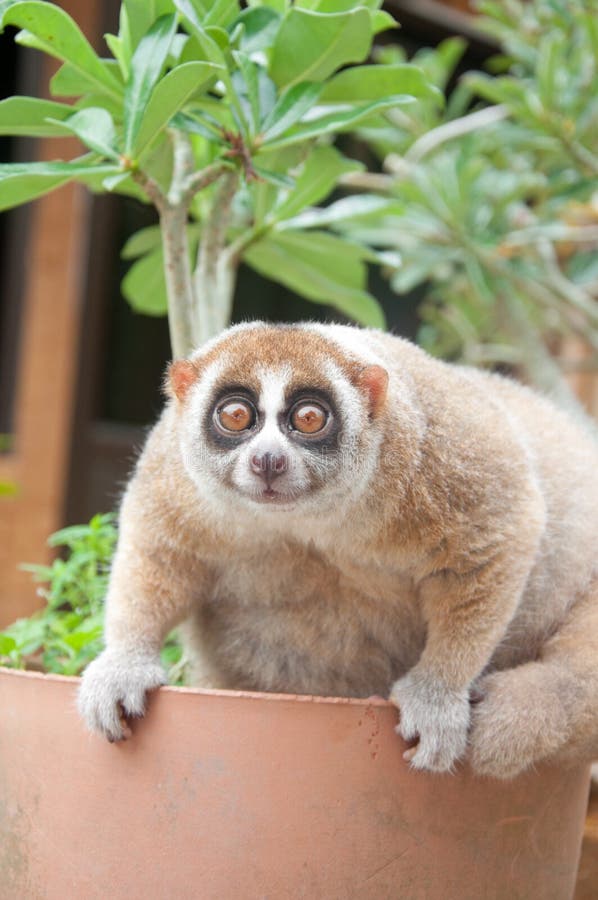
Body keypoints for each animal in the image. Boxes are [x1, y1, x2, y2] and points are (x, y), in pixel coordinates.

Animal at [78, 322, 598, 778]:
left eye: (308, 418)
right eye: (235, 415)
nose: (268, 459)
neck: (307, 520)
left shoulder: (440, 448)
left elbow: (499, 532)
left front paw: (436, 696)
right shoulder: (173, 466)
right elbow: (160, 550)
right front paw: (123, 667)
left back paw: (513, 721)